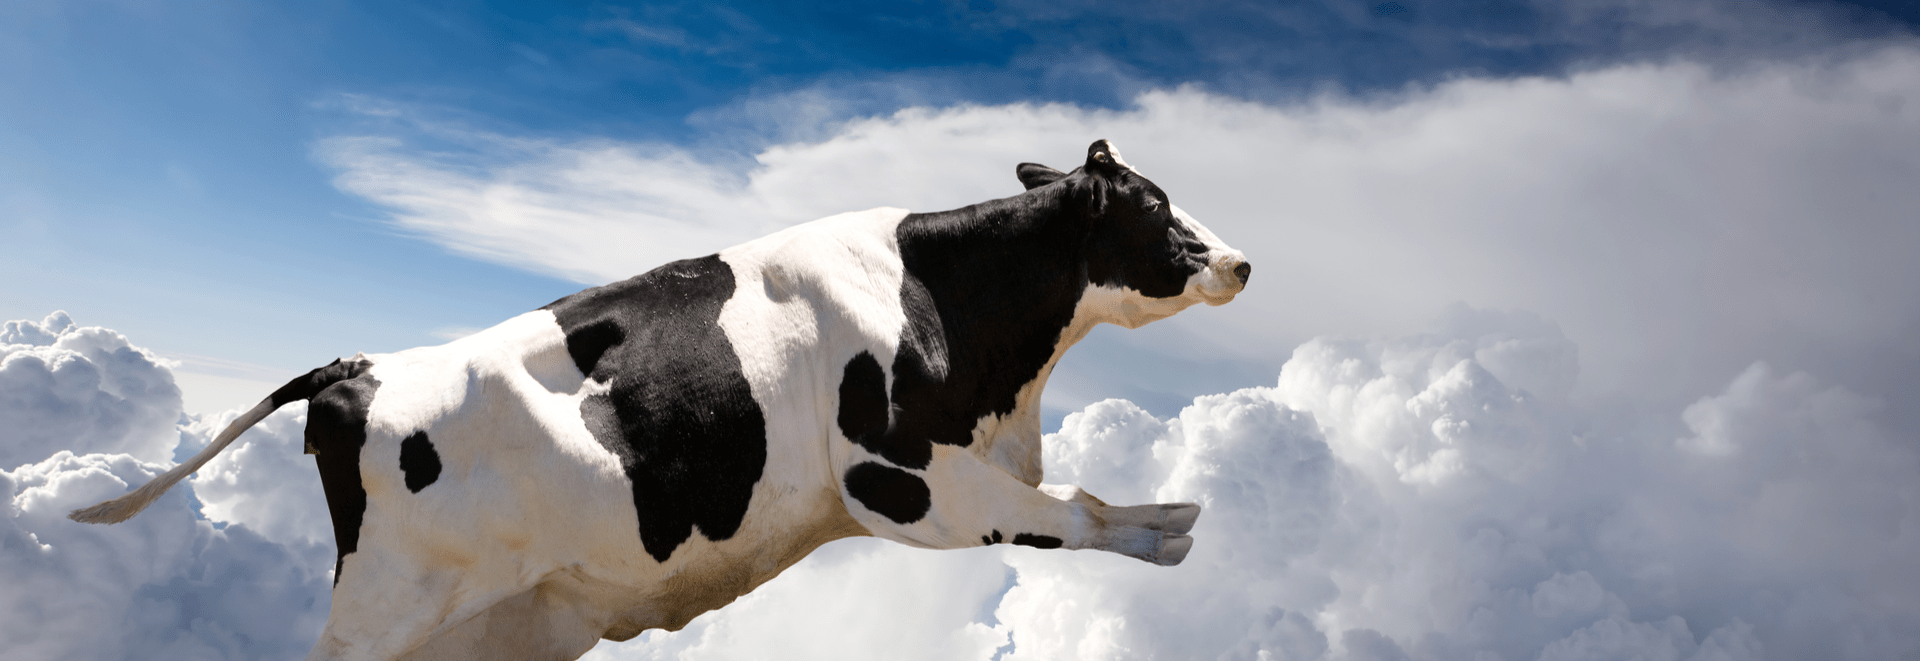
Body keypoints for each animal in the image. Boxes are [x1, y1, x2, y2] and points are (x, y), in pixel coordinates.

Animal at [71, 139, 1251, 660]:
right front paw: (1176, 533)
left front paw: (1177, 510)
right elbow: (1077, 517)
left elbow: (1084, 501)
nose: (1242, 262)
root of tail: (353, 366)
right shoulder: (899, 482)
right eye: (1155, 206)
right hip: (379, 610)